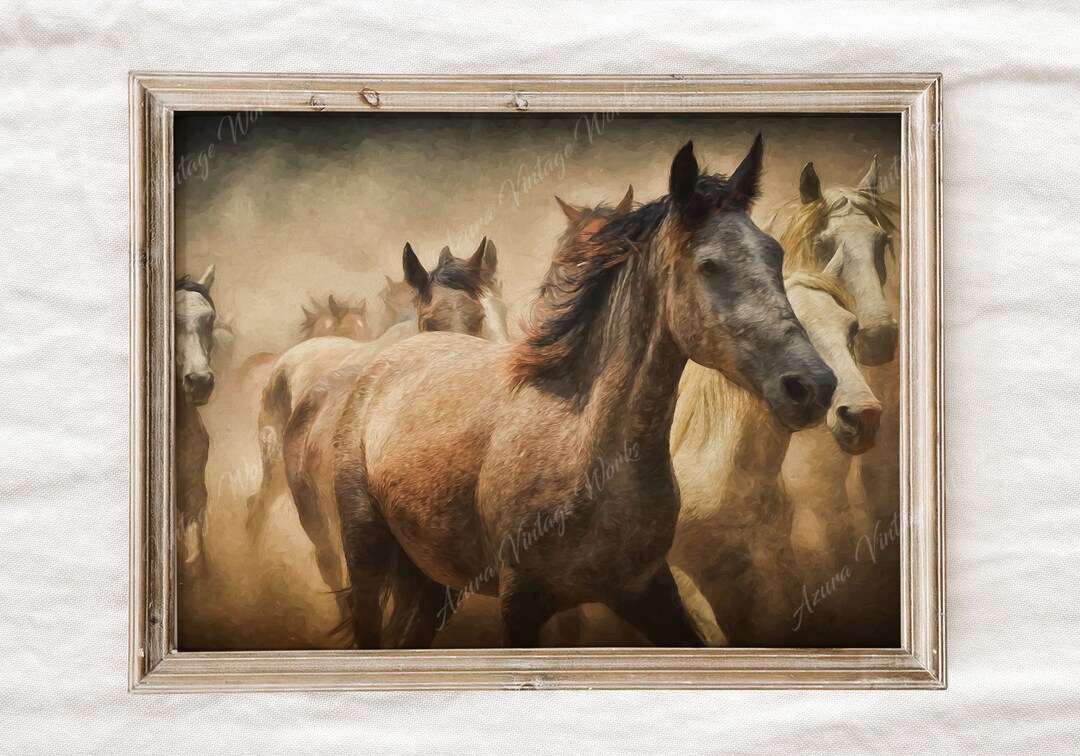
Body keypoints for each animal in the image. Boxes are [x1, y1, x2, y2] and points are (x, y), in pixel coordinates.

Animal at [295, 136, 838, 649]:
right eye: (709, 265)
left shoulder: (648, 591)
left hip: (434, 579)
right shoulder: (521, 603)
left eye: (775, 254)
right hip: (365, 551)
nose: (812, 386)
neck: (584, 447)